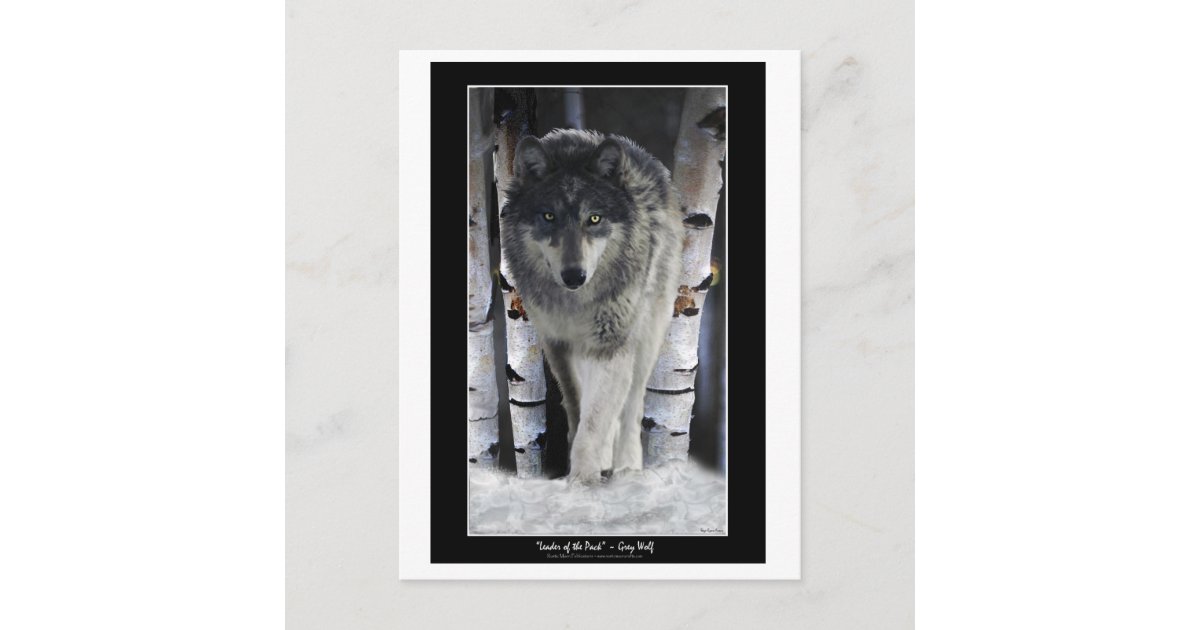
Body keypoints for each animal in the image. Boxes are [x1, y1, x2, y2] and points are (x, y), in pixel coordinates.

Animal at [500, 129, 684, 484]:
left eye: (594, 219)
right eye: (549, 216)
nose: (574, 275)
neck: (576, 304)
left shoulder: (610, 345)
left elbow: (595, 422)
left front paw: (583, 480)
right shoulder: (557, 345)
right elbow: (578, 410)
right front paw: (582, 472)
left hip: (646, 339)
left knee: (631, 407)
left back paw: (626, 467)